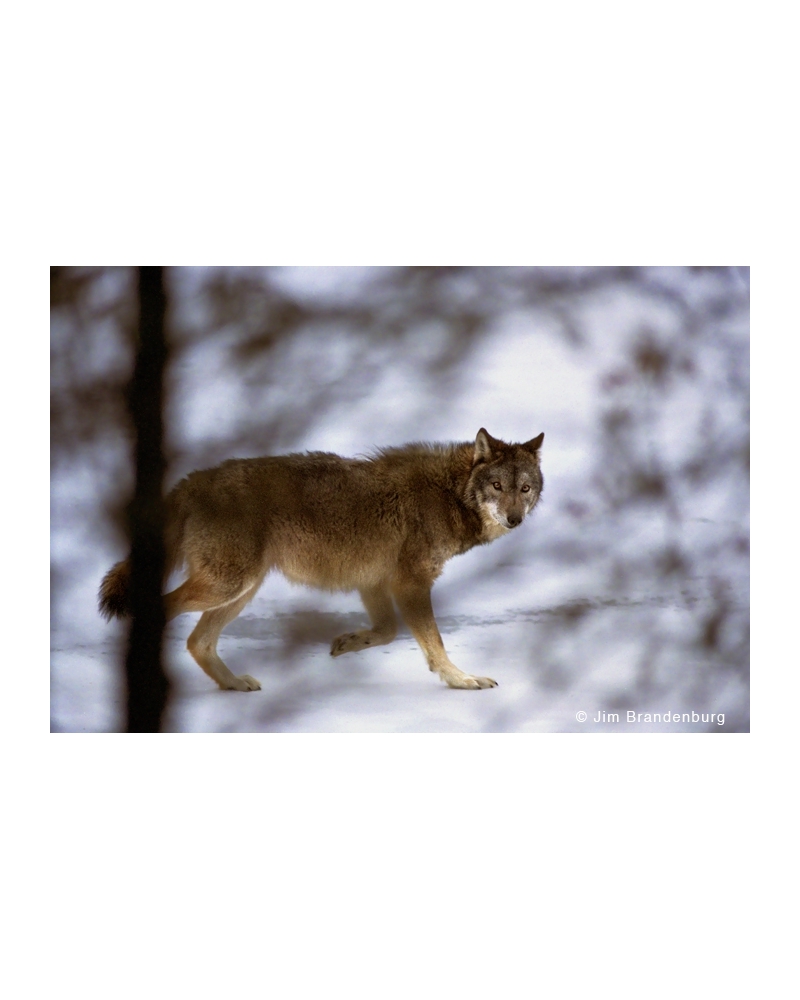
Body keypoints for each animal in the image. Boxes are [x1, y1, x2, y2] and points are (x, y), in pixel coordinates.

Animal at [99, 428, 544, 691]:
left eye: (524, 488)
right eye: (497, 485)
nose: (514, 519)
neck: (450, 494)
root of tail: (190, 482)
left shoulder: (375, 583)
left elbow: (385, 632)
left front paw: (346, 644)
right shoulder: (411, 583)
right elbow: (435, 644)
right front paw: (462, 680)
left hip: (241, 591)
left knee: (197, 642)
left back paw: (233, 684)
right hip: (227, 586)